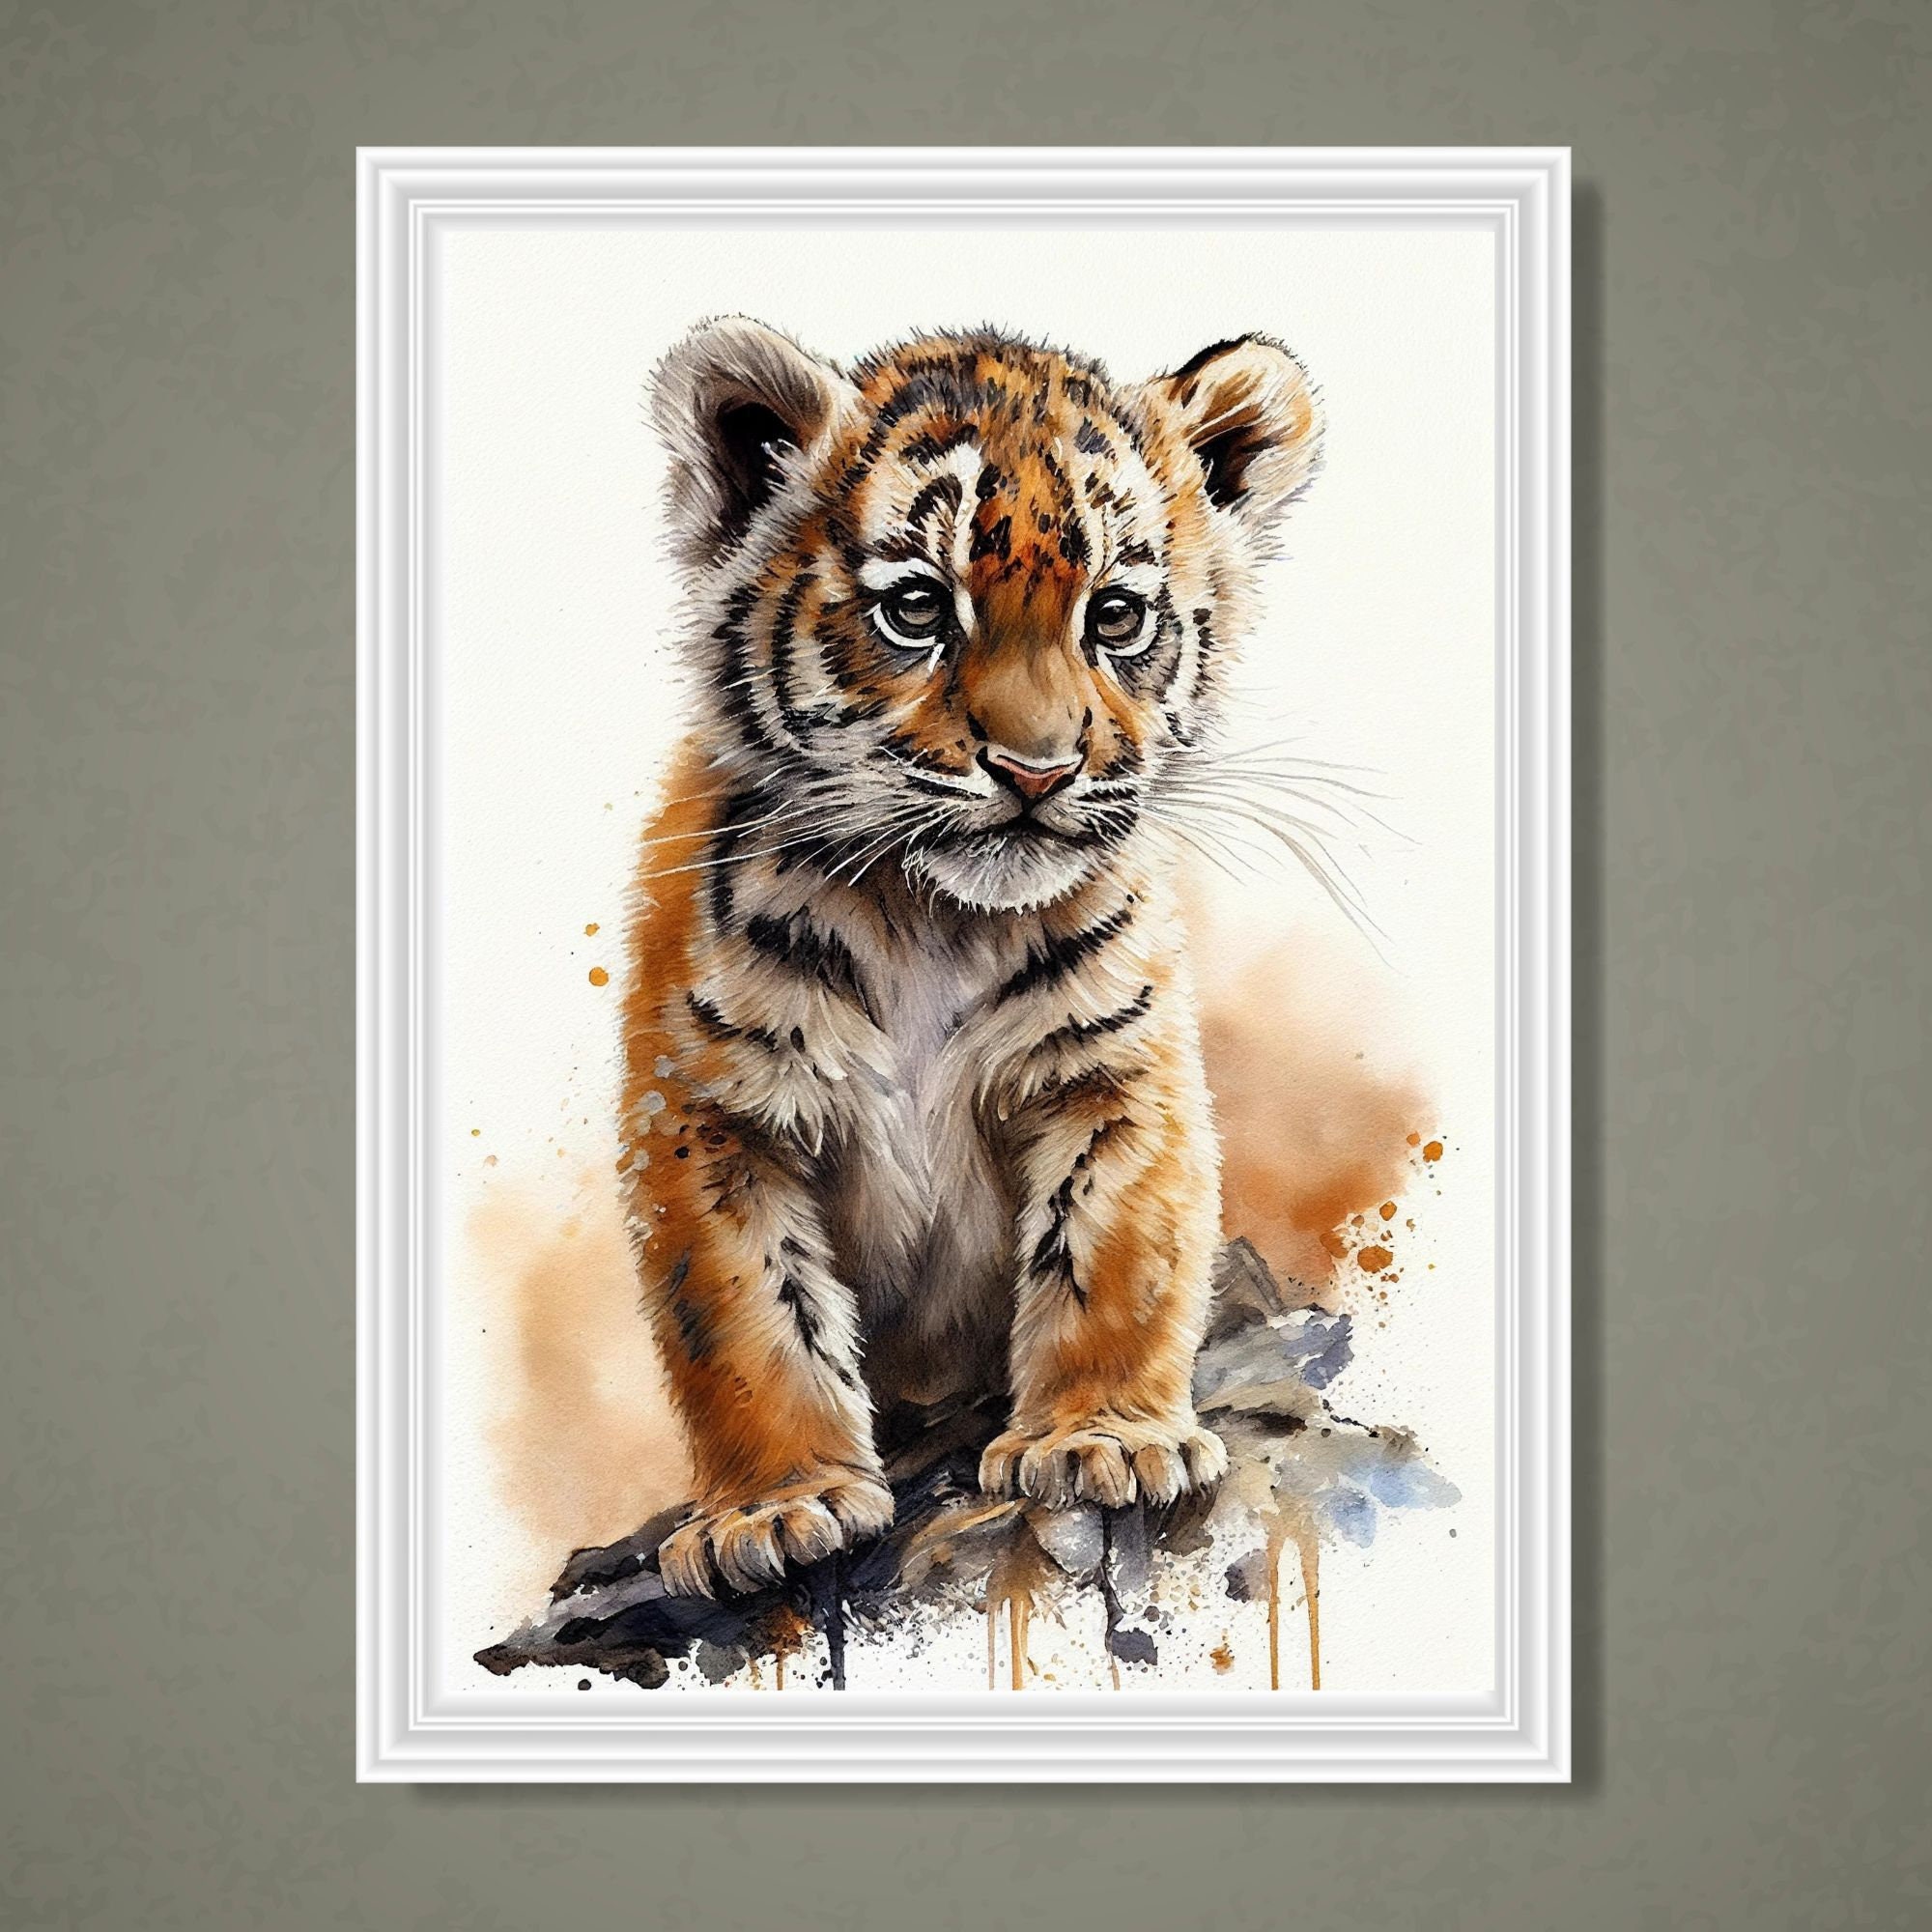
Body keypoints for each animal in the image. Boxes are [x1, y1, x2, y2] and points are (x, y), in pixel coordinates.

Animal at [618, 317, 1324, 1597]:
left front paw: (1103, 1442)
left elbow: (1110, 1255)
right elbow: (749, 1314)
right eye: (914, 607)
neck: (928, 919)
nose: (1037, 770)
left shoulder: (1115, 1071)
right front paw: (776, 1506)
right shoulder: (707, 1111)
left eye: (1114, 616)